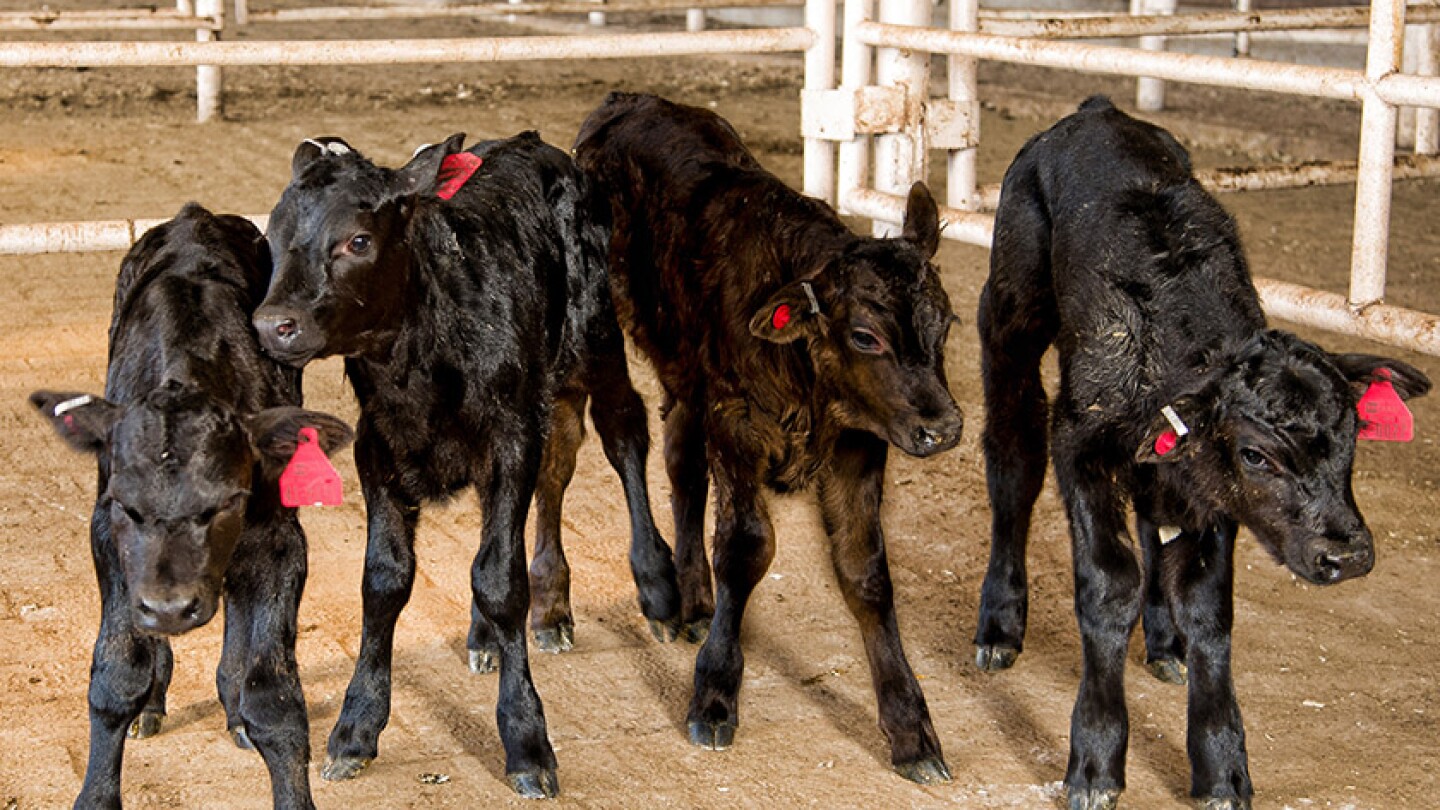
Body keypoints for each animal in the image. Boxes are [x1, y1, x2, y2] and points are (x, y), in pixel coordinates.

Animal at [30, 202, 353, 810]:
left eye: (227, 501)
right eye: (126, 505)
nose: (171, 608)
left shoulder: (279, 543)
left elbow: (274, 697)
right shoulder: (108, 541)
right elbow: (117, 674)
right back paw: (154, 702)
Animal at [250, 131, 681, 798]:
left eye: (357, 241)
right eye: (272, 235)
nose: (274, 325)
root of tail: (531, 144)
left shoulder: (510, 436)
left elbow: (501, 581)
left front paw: (527, 740)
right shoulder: (381, 447)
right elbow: (384, 581)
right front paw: (356, 728)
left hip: (596, 334)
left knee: (622, 433)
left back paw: (657, 590)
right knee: (552, 467)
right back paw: (527, 617)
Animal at [573, 91, 964, 783]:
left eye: (943, 322)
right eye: (865, 336)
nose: (942, 427)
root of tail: (629, 103)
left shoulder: (861, 438)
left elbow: (866, 572)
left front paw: (910, 727)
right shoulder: (736, 422)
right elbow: (746, 547)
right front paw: (715, 694)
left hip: (686, 376)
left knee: (681, 462)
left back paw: (695, 598)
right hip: (603, 323)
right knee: (623, 429)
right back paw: (658, 587)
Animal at [974, 95, 1432, 809]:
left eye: (1355, 435)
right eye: (1256, 456)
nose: (1349, 555)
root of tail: (1097, 111)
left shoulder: (1207, 492)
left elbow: (1209, 607)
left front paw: (1221, 764)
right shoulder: (1079, 442)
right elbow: (1109, 585)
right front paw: (1096, 759)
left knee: (1152, 517)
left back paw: (1164, 640)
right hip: (1010, 321)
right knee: (1012, 467)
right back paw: (1000, 623)